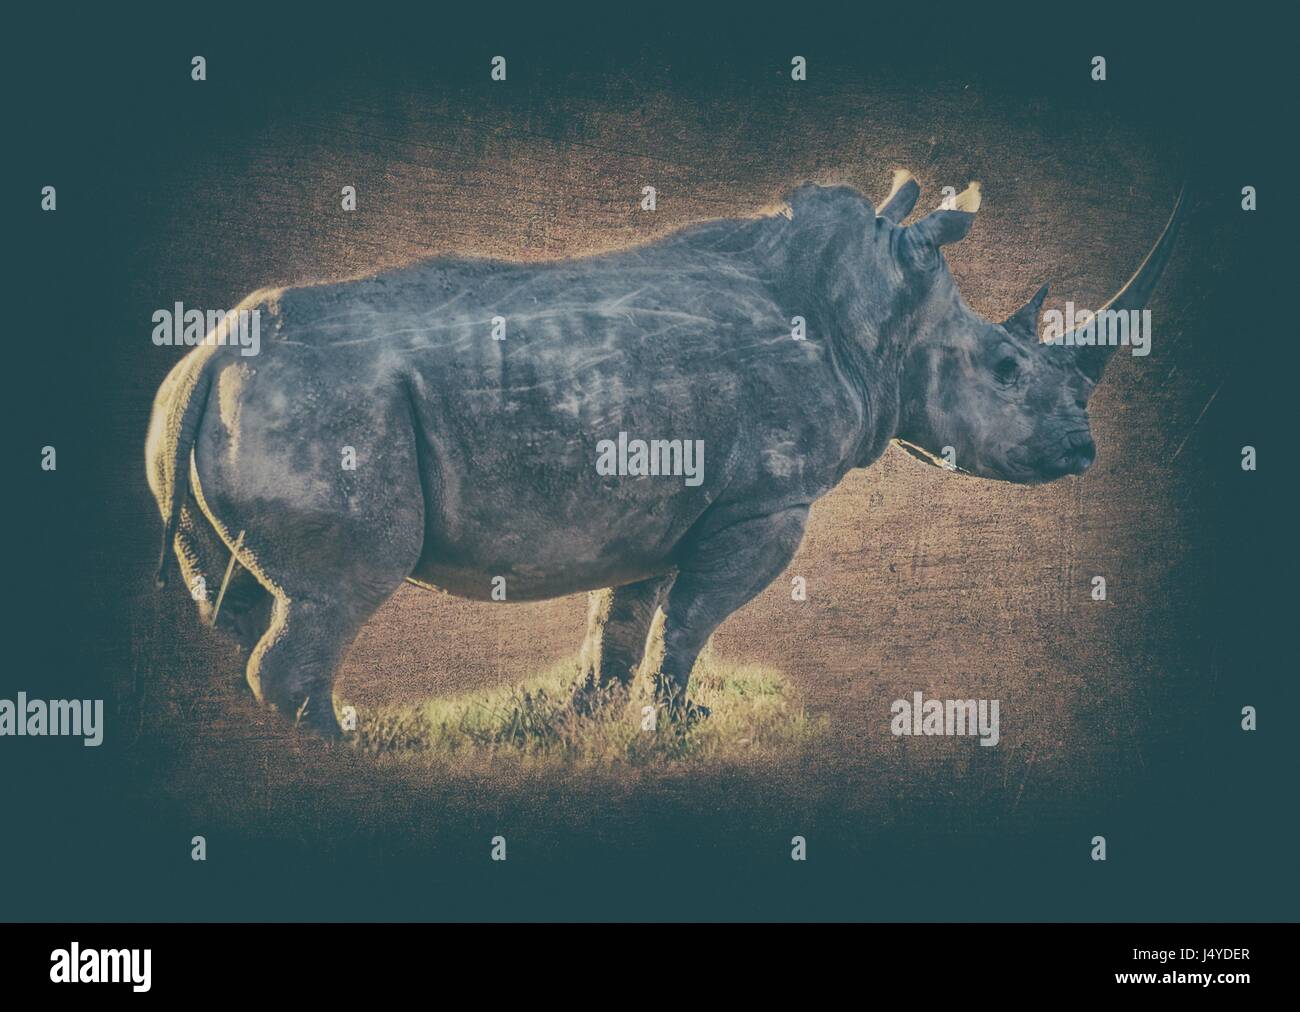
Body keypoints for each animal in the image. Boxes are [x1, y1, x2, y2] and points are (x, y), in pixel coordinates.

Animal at [145, 171, 1185, 737]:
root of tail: (208, 355)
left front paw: (590, 721)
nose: (1085, 449)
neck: (878, 311)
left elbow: (625, 617)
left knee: (245, 600)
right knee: (340, 592)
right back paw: (349, 756)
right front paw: (679, 723)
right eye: (1008, 370)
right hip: (321, 405)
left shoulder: (651, 499)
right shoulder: (766, 502)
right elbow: (692, 618)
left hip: (187, 416)